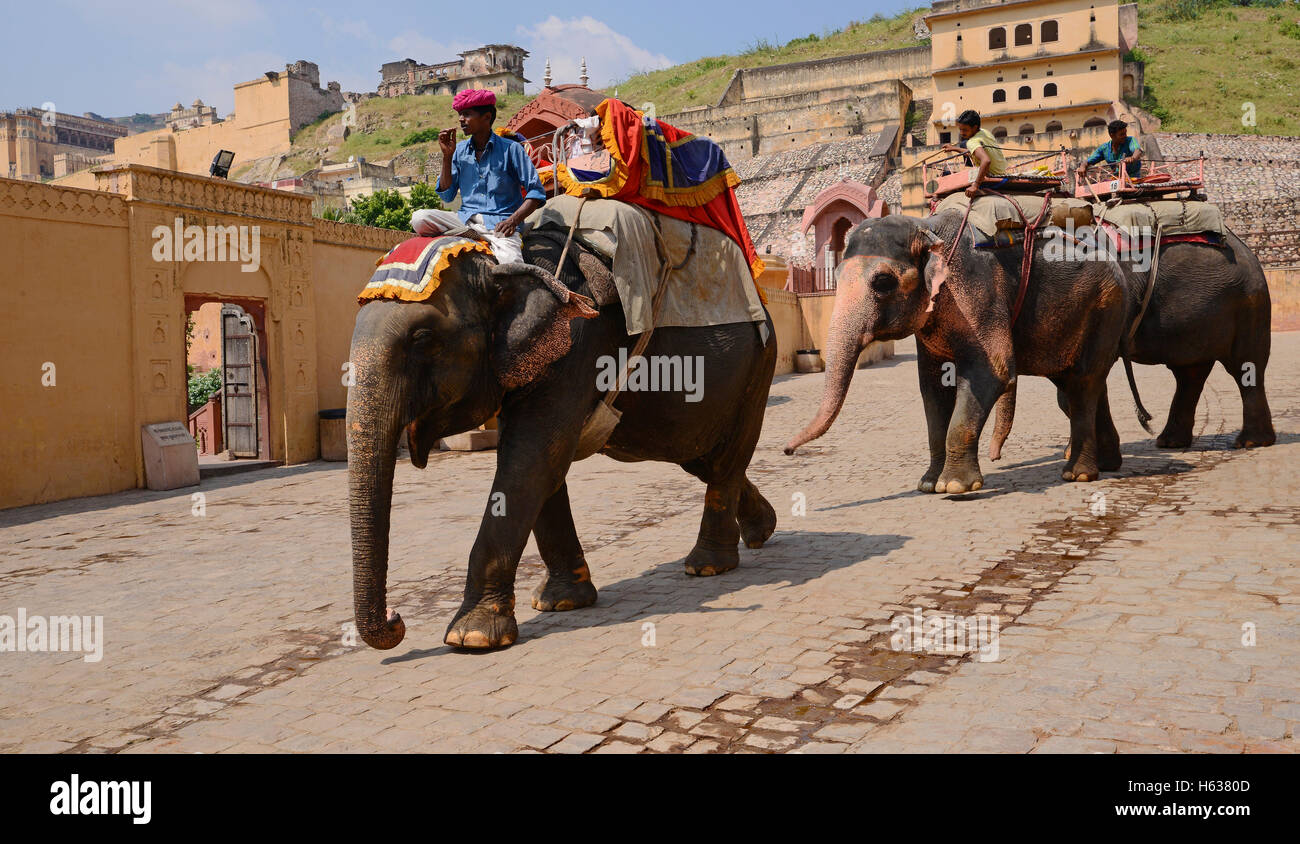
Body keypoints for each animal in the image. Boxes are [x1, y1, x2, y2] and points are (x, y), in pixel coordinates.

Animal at [347, 232, 778, 651]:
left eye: (421, 338)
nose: (396, 619)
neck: (502, 265)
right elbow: (542, 466)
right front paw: (560, 602)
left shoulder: (576, 346)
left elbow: (532, 461)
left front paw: (472, 636)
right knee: (700, 456)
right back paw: (761, 530)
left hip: (758, 368)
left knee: (726, 458)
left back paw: (708, 565)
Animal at [784, 211, 1143, 492]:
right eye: (836, 276)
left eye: (883, 282)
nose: (787, 451)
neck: (925, 227)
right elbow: (933, 388)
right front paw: (928, 484)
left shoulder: (976, 291)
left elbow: (993, 372)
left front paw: (955, 486)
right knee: (1080, 383)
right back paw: (1105, 465)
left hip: (1107, 305)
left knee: (1083, 383)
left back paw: (1077, 475)